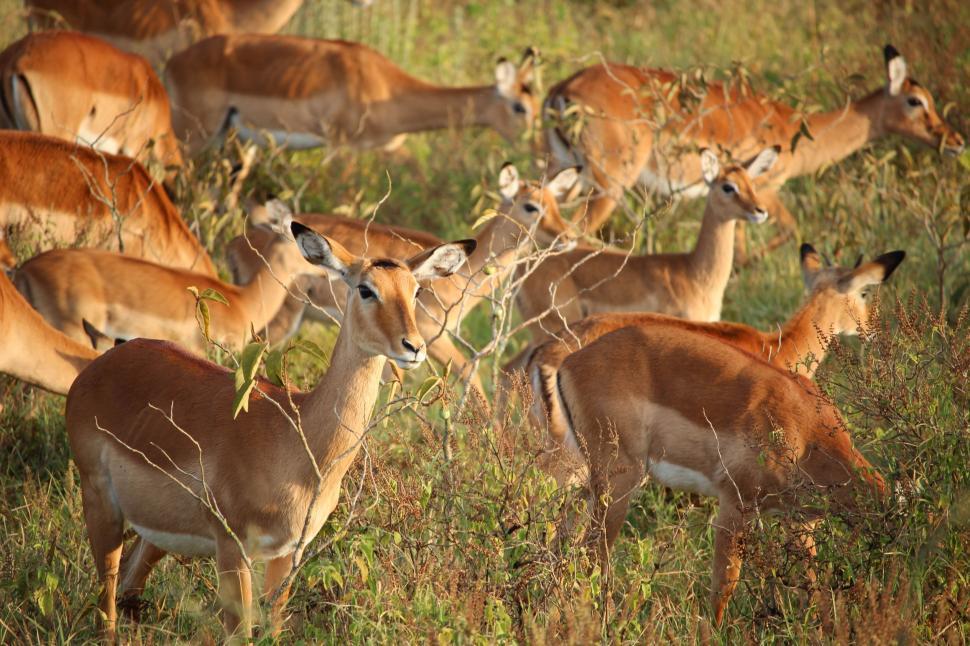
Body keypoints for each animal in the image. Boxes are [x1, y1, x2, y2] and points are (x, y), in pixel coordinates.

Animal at [66, 223, 474, 639]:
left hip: (154, 531)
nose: (414, 347)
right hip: (100, 504)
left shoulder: (288, 554)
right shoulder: (233, 548)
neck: (297, 443)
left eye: (415, 290)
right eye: (365, 288)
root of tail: (100, 363)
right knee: (107, 601)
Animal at [165, 35, 538, 155]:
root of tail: (173, 62)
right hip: (193, 136)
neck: (386, 87)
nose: (536, 153)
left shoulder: (389, 149)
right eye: (520, 107)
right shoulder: (342, 149)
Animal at [228, 165, 579, 396]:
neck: (464, 274)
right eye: (531, 206)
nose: (569, 237)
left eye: (556, 203)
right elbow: (470, 373)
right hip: (283, 319)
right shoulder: (431, 337)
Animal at [538, 323, 887, 625]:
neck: (806, 431)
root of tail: (570, 363)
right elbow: (724, 586)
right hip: (618, 484)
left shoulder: (799, 524)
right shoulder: (736, 505)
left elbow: (814, 588)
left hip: (586, 480)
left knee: (559, 548)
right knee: (593, 559)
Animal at [545, 45, 964, 249]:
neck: (793, 127)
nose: (956, 142)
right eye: (916, 101)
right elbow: (790, 231)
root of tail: (562, 89)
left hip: (562, 176)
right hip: (608, 187)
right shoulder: (765, 189)